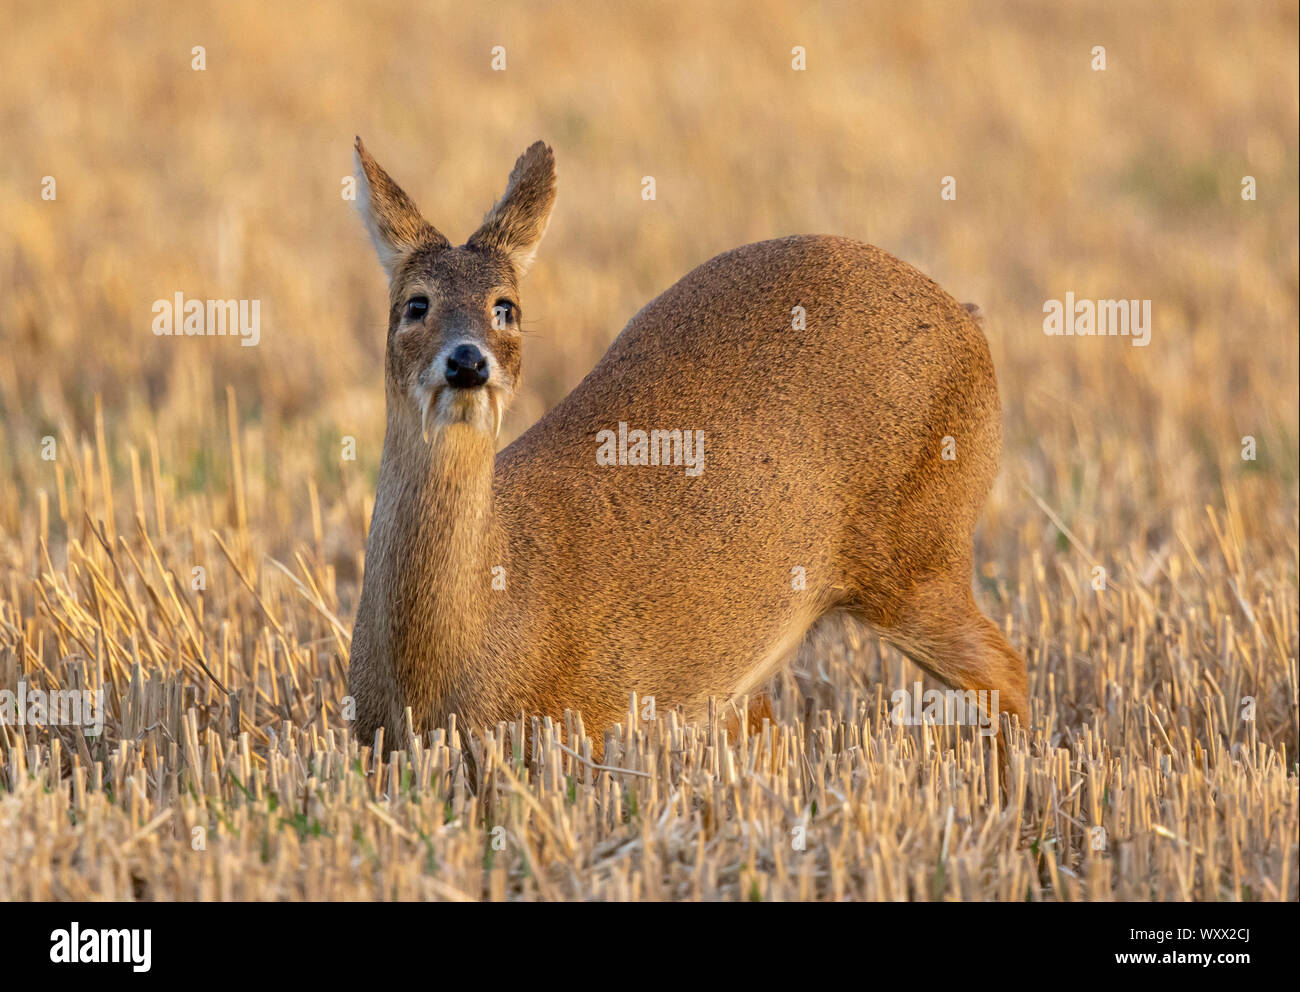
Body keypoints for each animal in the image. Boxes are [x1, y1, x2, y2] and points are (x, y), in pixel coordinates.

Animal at [346, 137, 1029, 768]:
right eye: (416, 303)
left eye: (505, 307)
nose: (467, 361)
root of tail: (965, 315)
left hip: (921, 551)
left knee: (1007, 674)